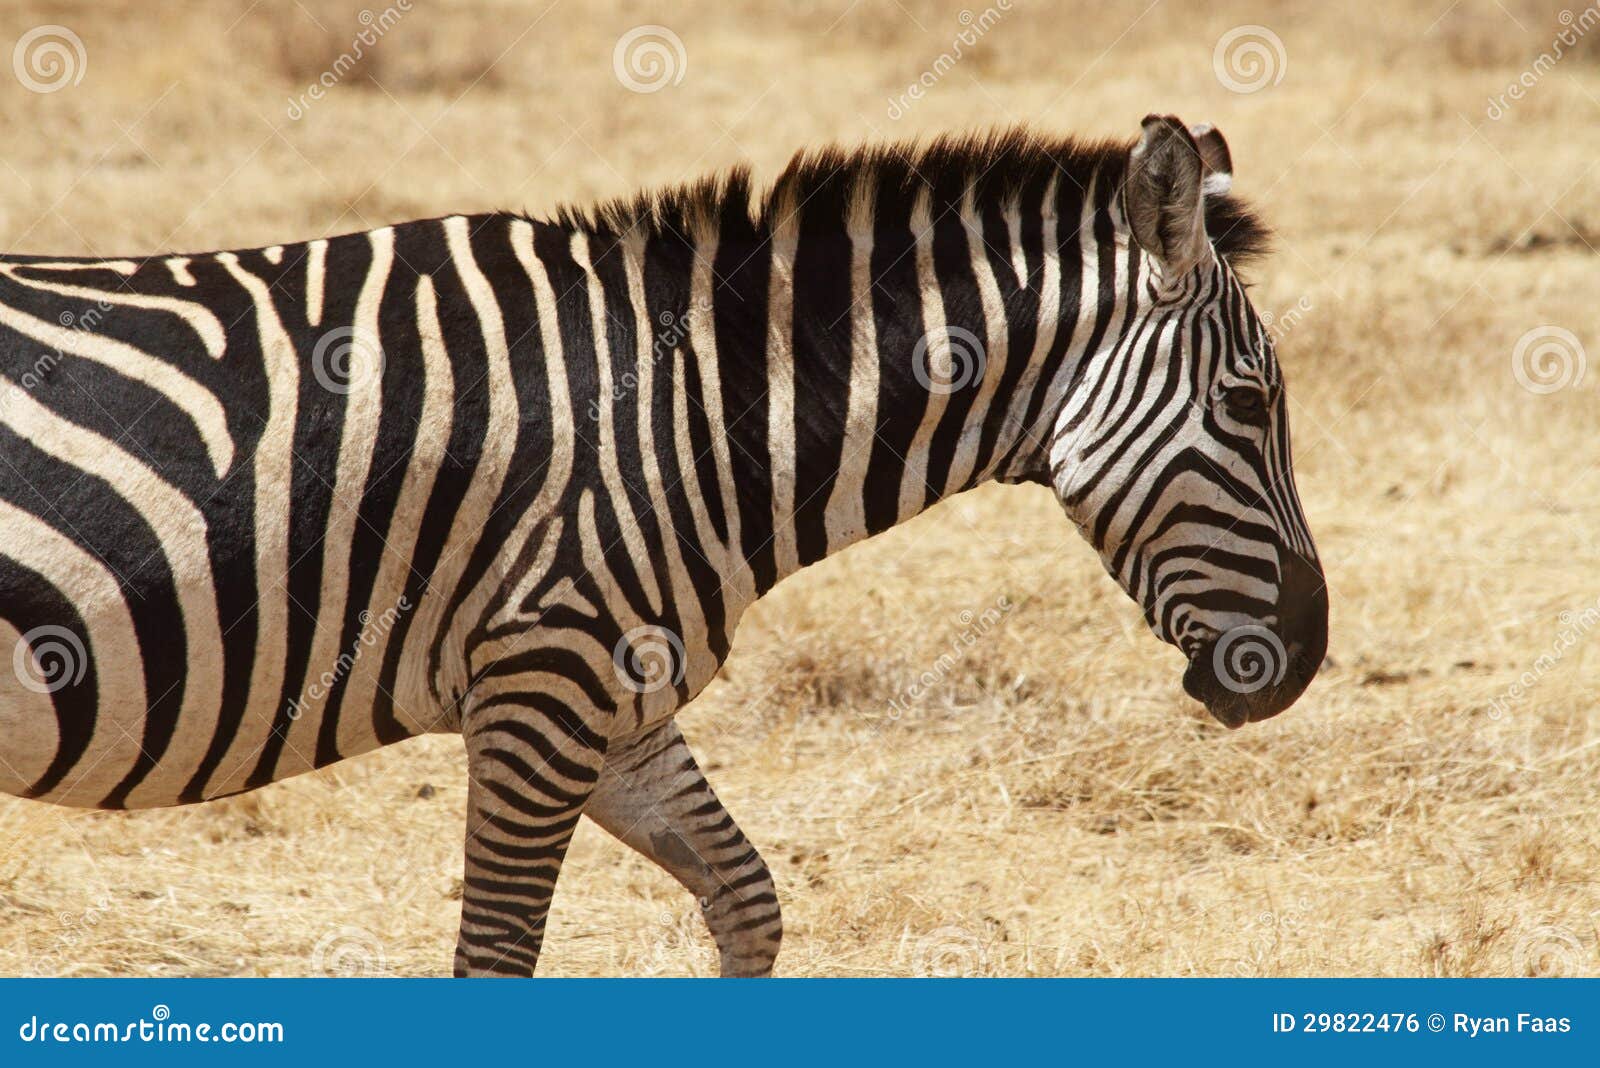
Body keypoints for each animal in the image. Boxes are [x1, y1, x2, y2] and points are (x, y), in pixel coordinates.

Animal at [0, 114, 1326, 976]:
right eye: (1249, 405)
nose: (1304, 660)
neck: (681, 411)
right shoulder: (540, 685)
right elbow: (498, 957)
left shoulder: (615, 699)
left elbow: (748, 900)